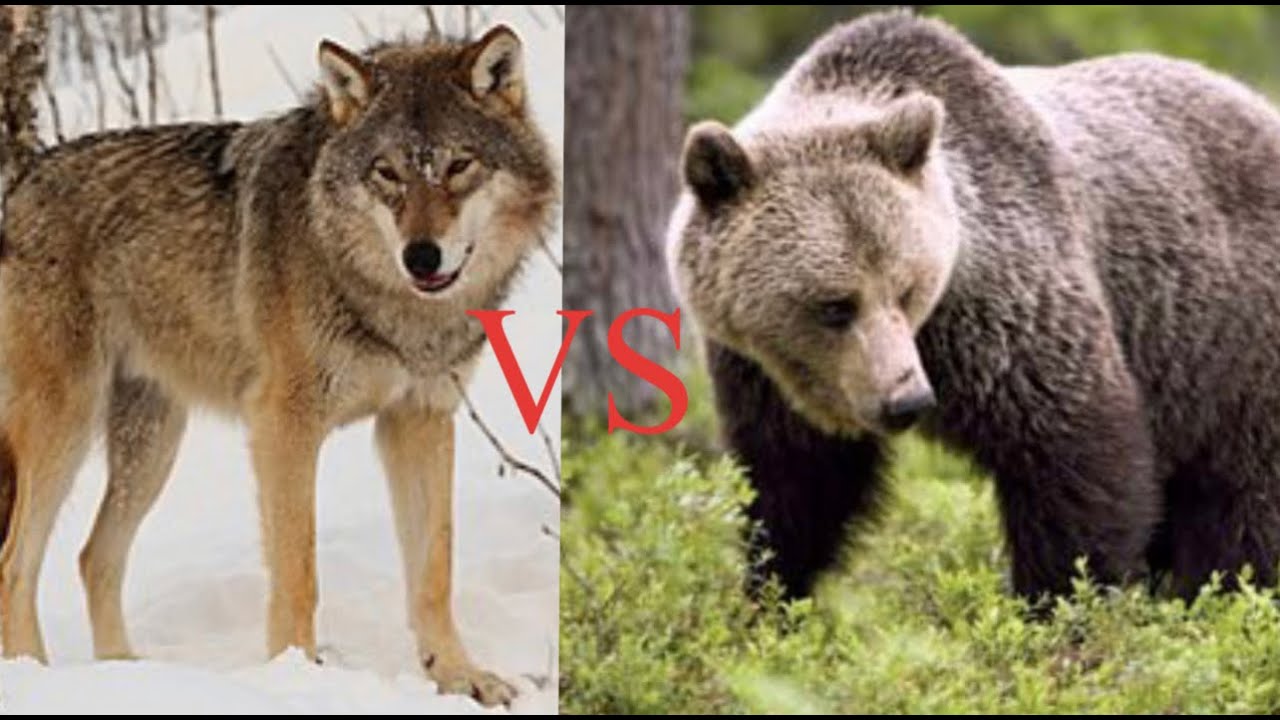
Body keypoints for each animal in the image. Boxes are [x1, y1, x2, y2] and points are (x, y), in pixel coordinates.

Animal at [0, 18, 556, 706]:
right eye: (387, 172)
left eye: (458, 165)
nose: (422, 256)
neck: (389, 304)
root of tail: (20, 182)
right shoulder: (283, 424)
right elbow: (299, 570)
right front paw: (299, 675)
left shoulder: (421, 419)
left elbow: (435, 570)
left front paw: (457, 675)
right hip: (66, 428)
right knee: (15, 565)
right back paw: (36, 676)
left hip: (151, 445)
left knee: (93, 557)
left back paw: (125, 673)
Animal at [667, 10, 1280, 602]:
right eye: (835, 305)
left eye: (907, 288)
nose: (908, 401)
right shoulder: (764, 371)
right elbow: (795, 482)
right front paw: (770, 593)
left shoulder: (1001, 311)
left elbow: (1072, 450)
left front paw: (1061, 601)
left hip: (1232, 344)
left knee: (1241, 501)